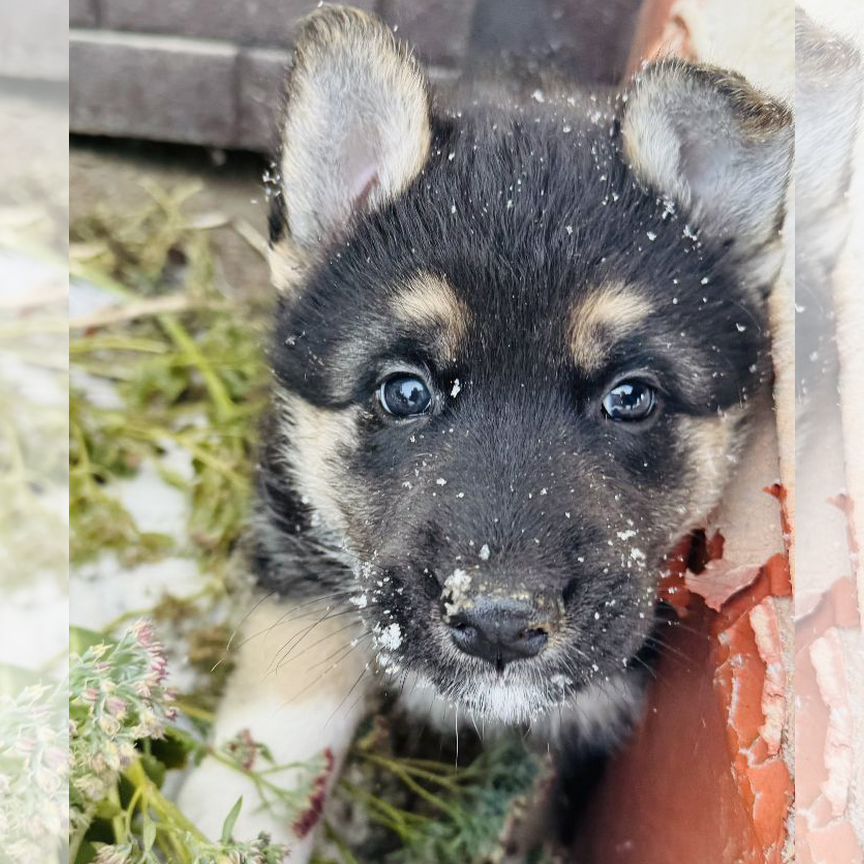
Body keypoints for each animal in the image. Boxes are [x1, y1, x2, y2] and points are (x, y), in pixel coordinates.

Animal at [179, 6, 792, 856]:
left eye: (632, 398)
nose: (500, 626)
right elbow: (280, 721)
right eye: (405, 390)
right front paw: (232, 823)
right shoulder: (301, 543)